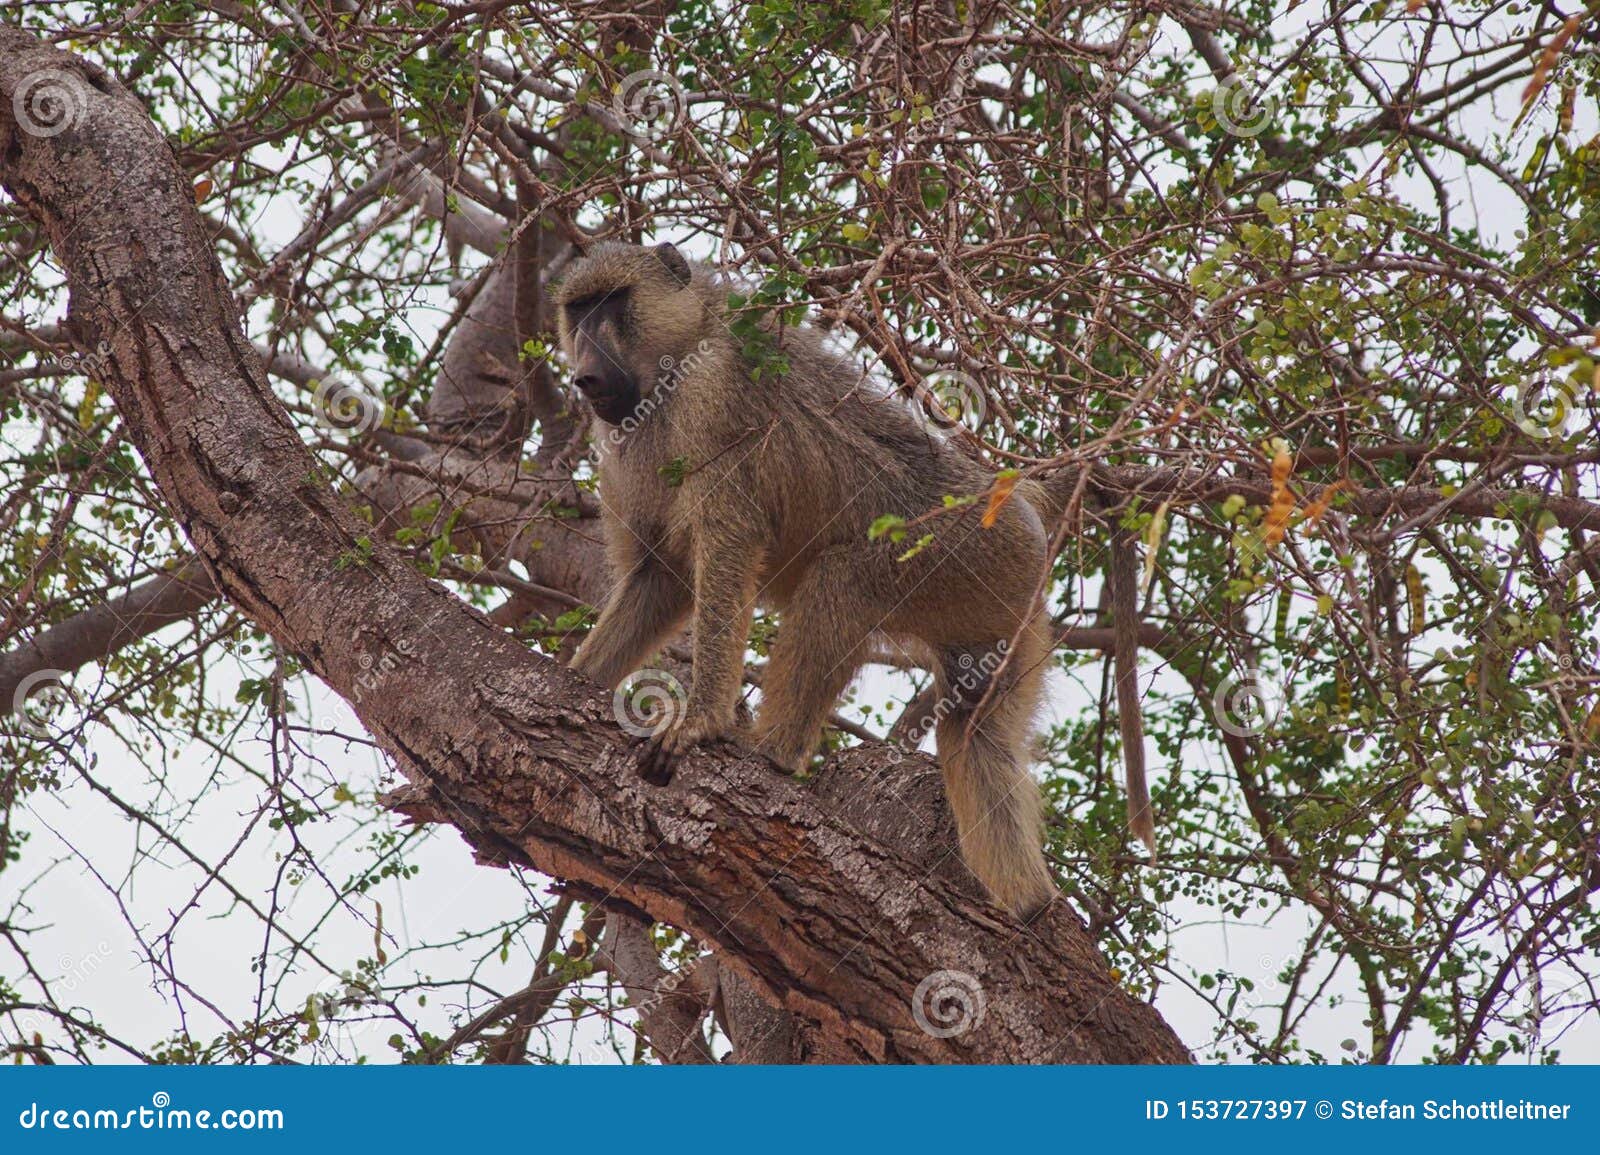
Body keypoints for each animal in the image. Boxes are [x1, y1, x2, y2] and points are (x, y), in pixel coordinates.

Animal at [557, 240, 1087, 917]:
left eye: (612, 302)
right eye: (578, 311)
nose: (585, 375)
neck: (676, 363)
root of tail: (1021, 511)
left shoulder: (713, 395)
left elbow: (728, 542)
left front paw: (701, 723)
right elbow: (662, 577)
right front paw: (581, 676)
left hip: (976, 553)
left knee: (845, 580)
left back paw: (774, 757)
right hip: (1008, 607)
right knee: (975, 728)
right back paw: (1030, 907)